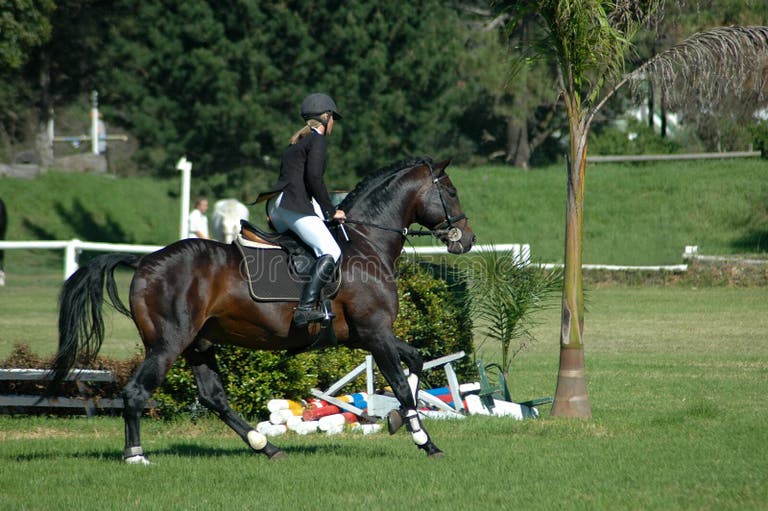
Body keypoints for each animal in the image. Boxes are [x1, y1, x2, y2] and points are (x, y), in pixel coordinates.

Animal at [48, 157, 475, 464]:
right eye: (452, 193)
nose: (467, 240)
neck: (365, 241)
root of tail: (145, 262)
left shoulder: (365, 336)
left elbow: (416, 360)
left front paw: (397, 419)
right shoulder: (375, 332)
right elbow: (401, 382)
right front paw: (424, 441)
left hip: (198, 344)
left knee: (214, 397)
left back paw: (265, 446)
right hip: (168, 344)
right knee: (137, 392)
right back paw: (135, 456)